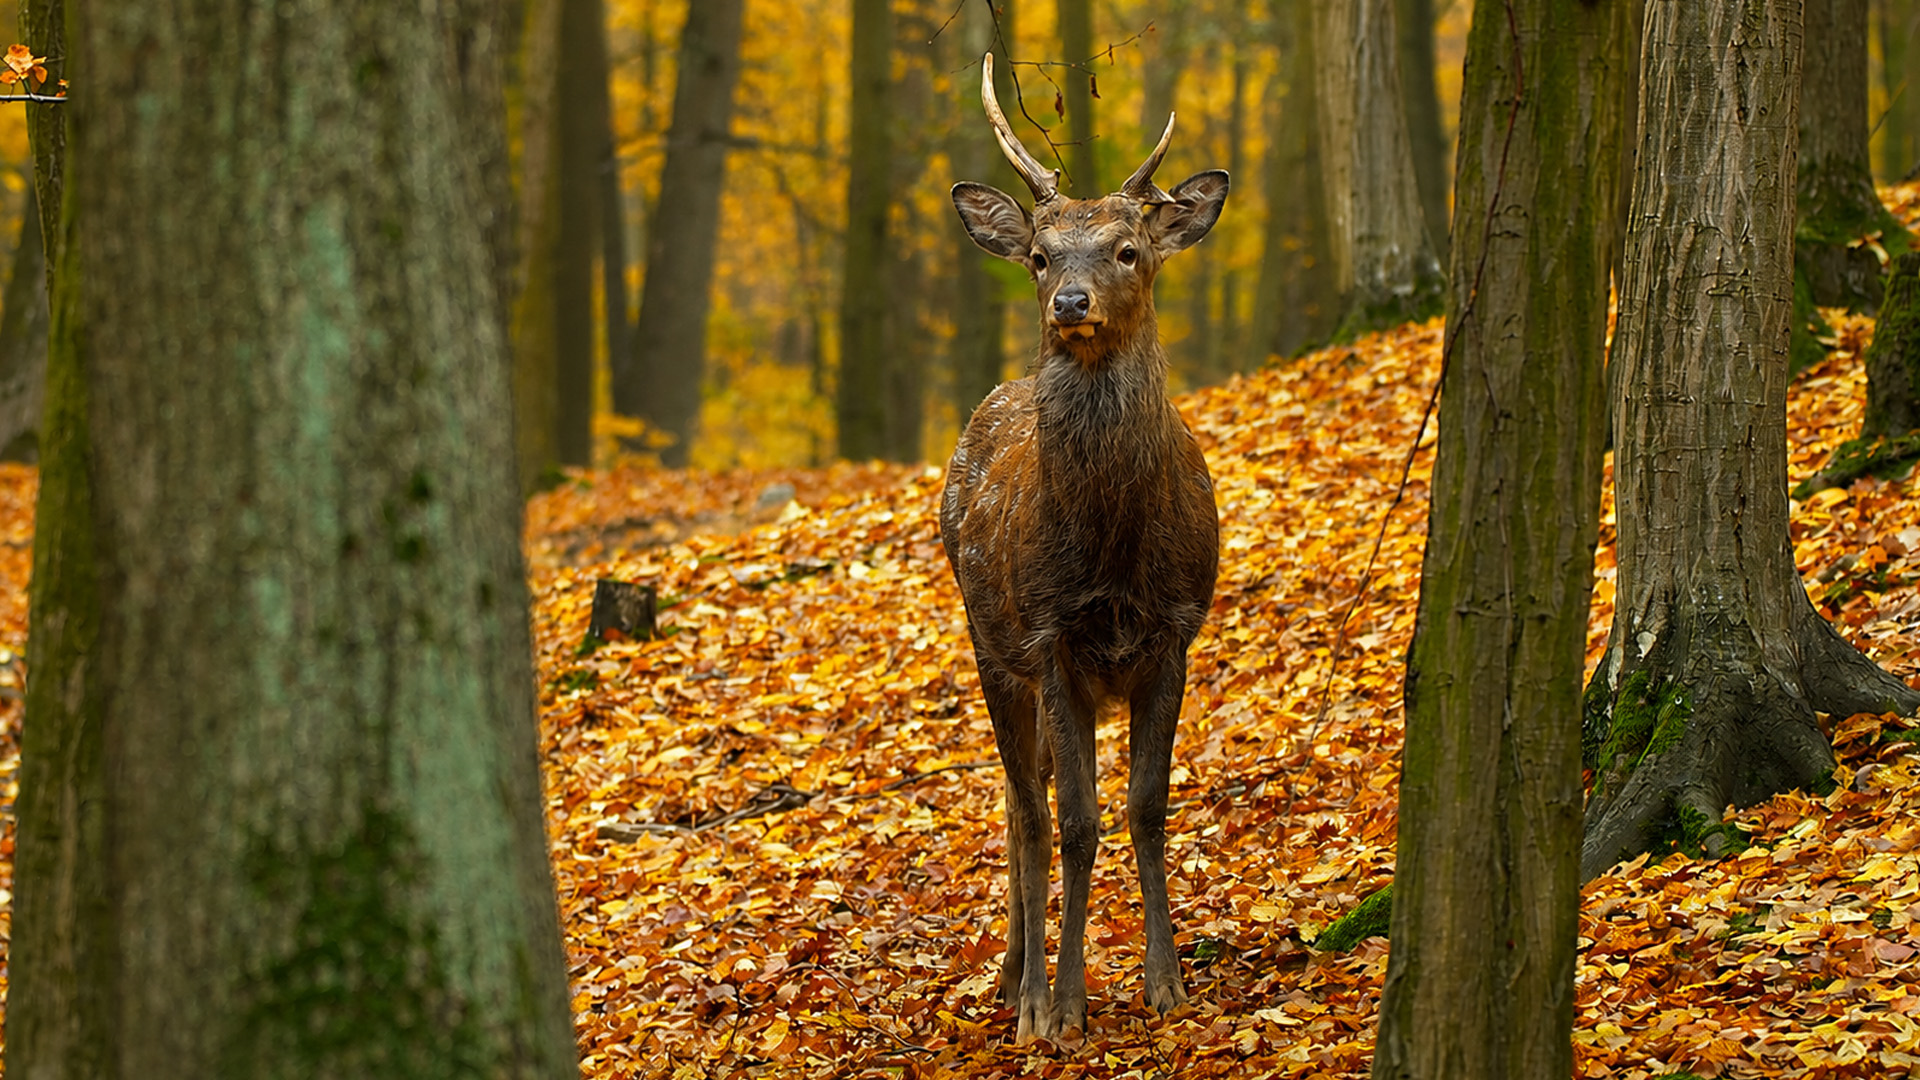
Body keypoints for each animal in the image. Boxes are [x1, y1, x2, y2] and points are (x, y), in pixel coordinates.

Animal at [939, 53, 1226, 1043]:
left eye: (1127, 250)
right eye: (1039, 253)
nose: (1071, 301)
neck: (1113, 556)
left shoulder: (1173, 631)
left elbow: (1144, 807)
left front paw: (1166, 982)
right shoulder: (1050, 639)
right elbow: (1073, 824)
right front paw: (1062, 1006)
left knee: (1021, 792)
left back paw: (1010, 975)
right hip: (992, 649)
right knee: (1024, 807)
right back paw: (1018, 987)